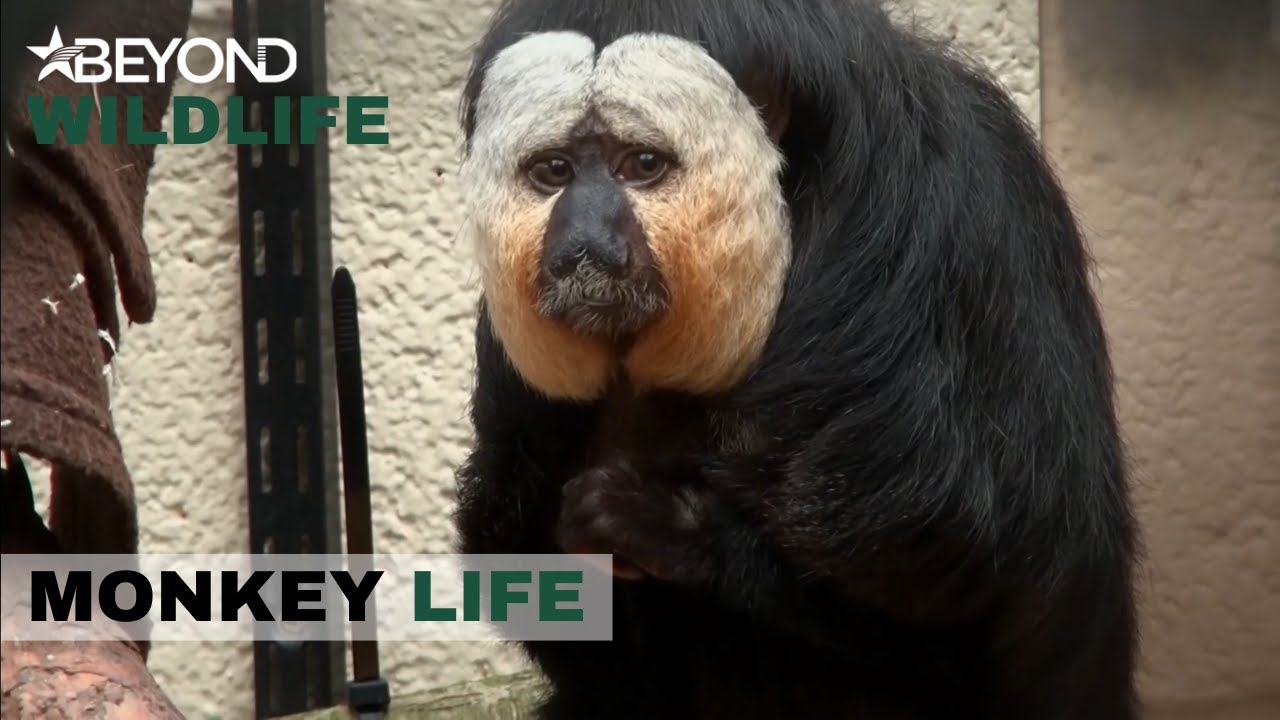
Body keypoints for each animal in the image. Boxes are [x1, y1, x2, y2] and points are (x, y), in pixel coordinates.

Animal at [450, 1, 1139, 718]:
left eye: (641, 164)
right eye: (554, 172)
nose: (584, 243)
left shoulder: (903, 224)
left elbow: (943, 543)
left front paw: (651, 524)